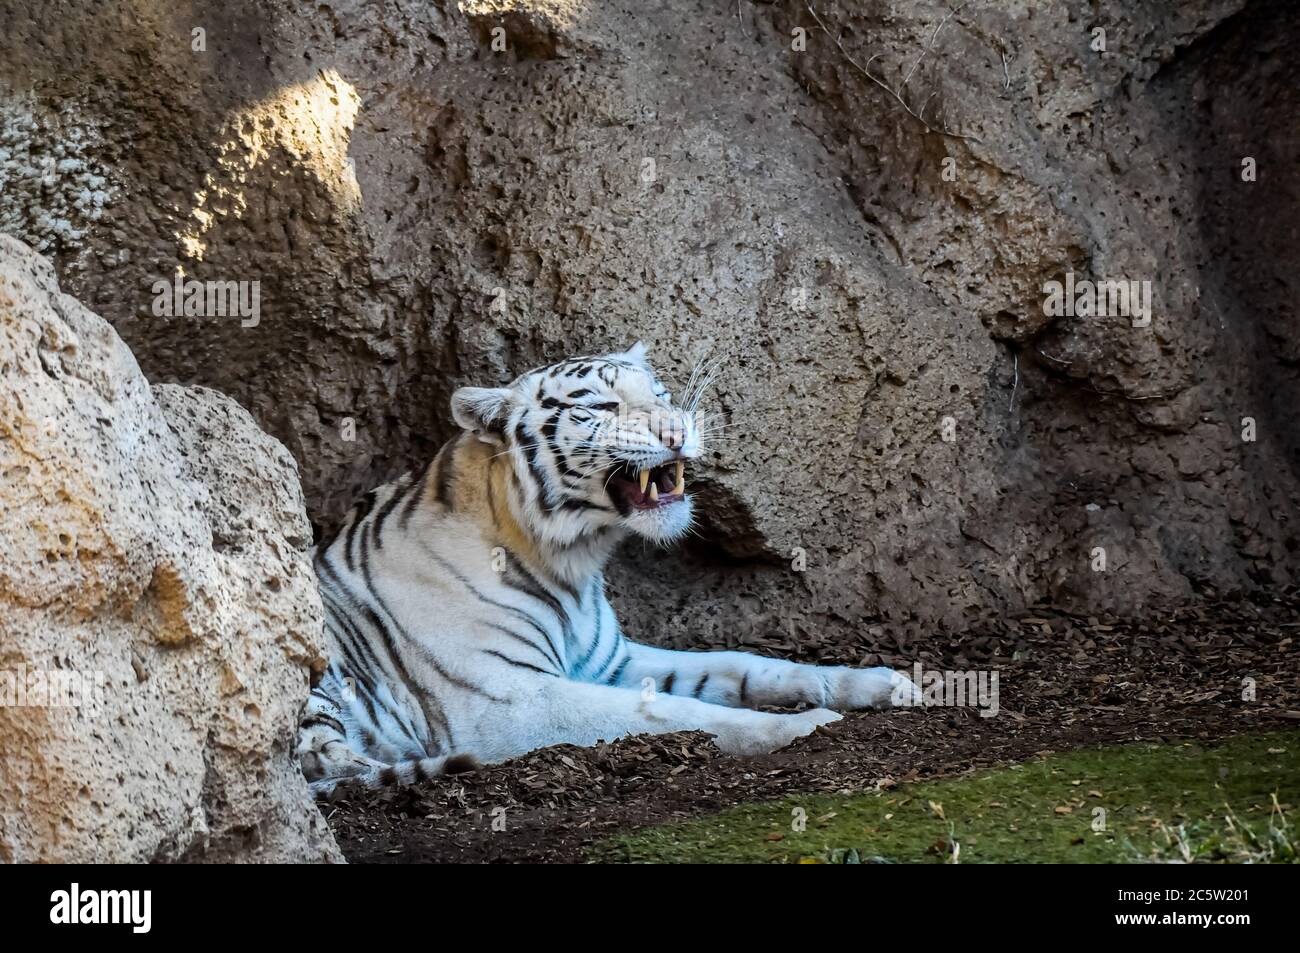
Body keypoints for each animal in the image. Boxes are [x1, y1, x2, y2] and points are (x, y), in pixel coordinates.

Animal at [298, 342, 921, 795]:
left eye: (661, 393)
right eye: (601, 407)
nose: (677, 430)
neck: (567, 561)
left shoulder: (608, 660)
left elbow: (741, 665)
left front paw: (874, 682)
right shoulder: (513, 700)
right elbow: (676, 713)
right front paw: (806, 724)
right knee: (325, 769)